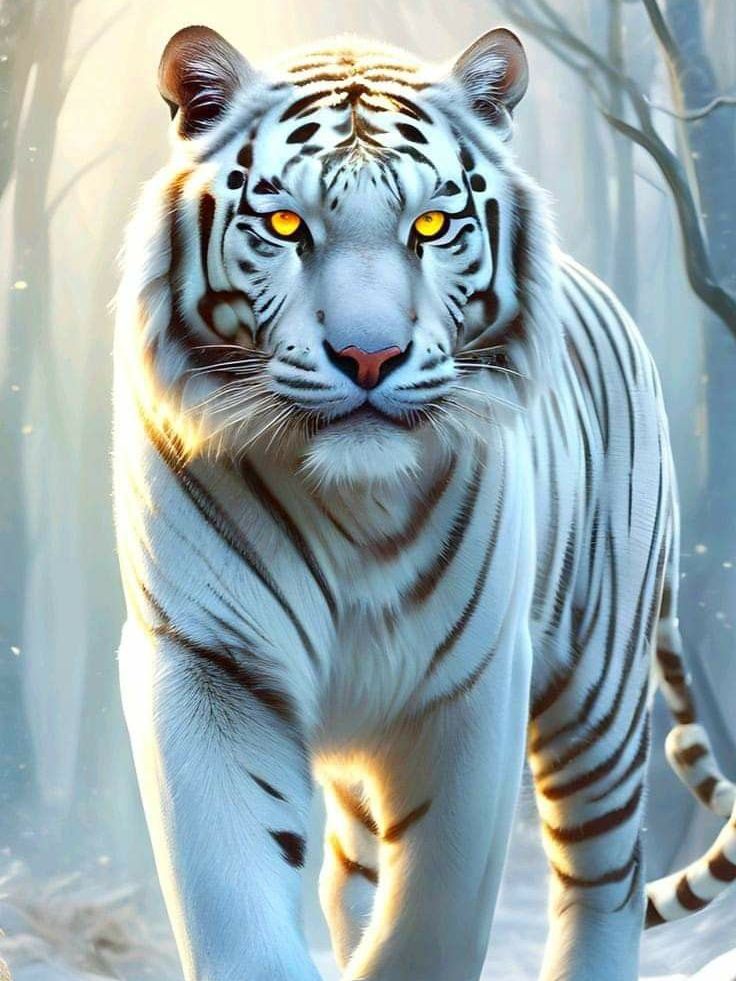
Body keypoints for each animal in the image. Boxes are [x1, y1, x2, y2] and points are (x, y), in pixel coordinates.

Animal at [112, 23, 736, 981]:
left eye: (432, 225)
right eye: (286, 224)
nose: (369, 356)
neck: (351, 504)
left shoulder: (472, 683)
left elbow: (435, 911)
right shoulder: (207, 660)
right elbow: (238, 897)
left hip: (600, 694)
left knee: (604, 881)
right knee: (350, 875)